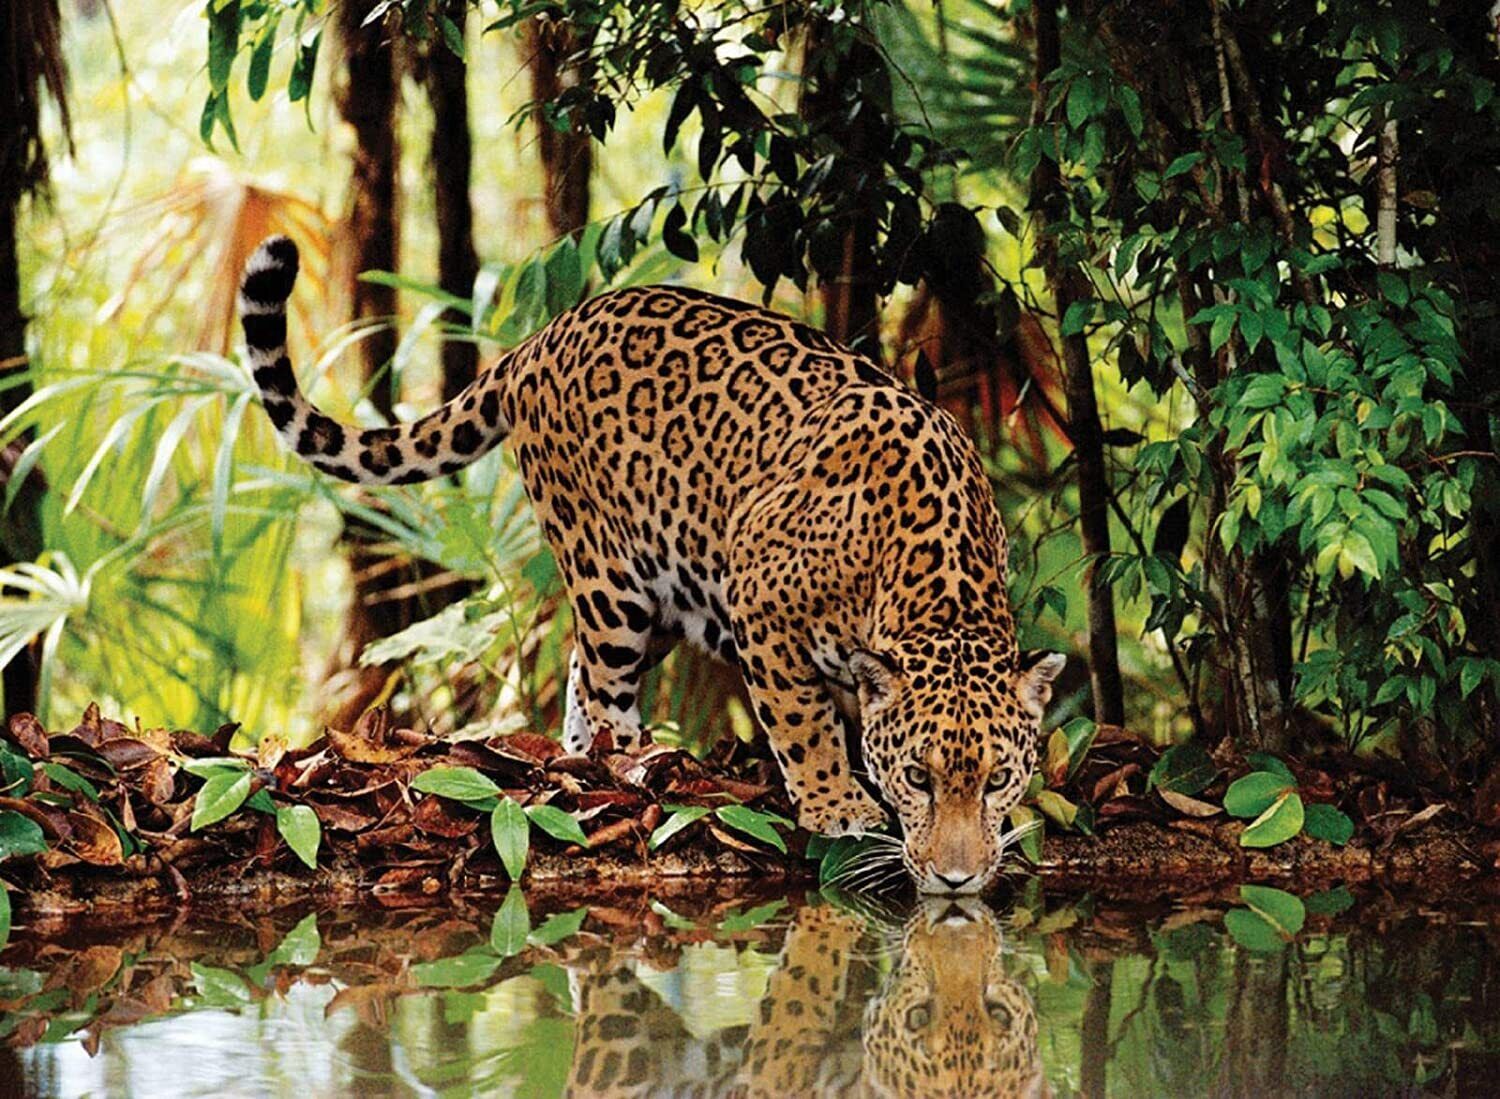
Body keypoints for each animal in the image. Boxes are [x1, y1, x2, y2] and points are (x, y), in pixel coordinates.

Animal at [238, 234, 1065, 893]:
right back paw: (629, 768)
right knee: (605, 684)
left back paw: (584, 762)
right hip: (609, 575)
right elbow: (805, 725)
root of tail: (540, 340)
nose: (958, 879)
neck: (931, 581)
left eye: (997, 780)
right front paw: (839, 806)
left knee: (579, 675)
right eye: (919, 777)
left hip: (664, 589)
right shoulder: (760, 600)